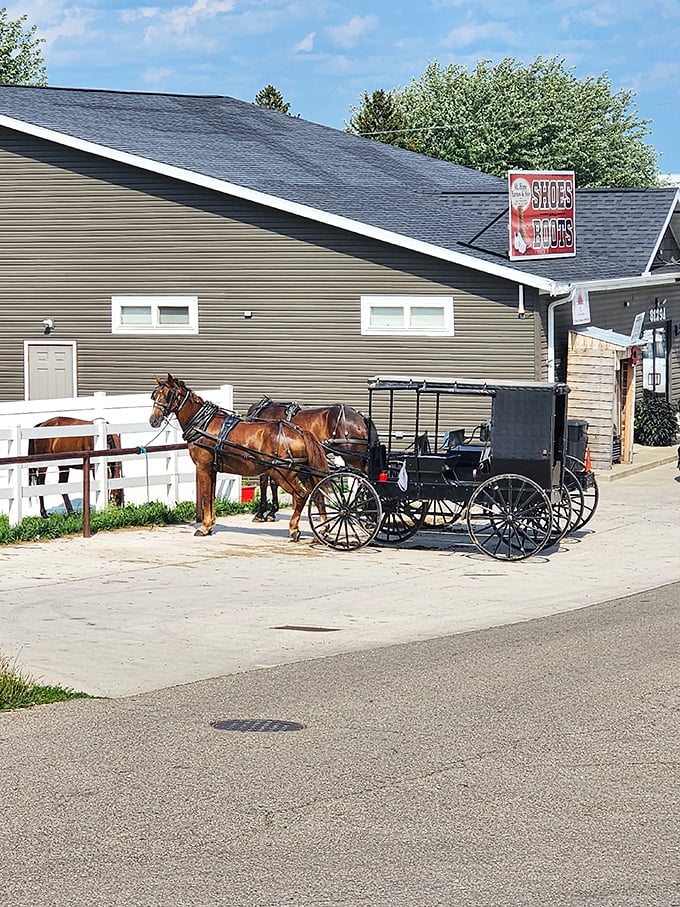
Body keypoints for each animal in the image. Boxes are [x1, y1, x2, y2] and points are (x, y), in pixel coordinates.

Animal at [149, 375, 329, 540]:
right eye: (155, 395)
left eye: (168, 394)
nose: (153, 420)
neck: (204, 425)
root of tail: (300, 432)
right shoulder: (212, 469)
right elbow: (212, 497)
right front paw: (210, 524)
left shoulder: (203, 467)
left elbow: (206, 497)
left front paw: (204, 527)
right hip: (303, 473)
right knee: (316, 493)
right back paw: (323, 528)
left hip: (282, 474)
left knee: (301, 496)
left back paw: (294, 529)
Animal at [246, 396, 377, 522]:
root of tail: (361, 418)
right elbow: (273, 483)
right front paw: (271, 512)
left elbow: (264, 483)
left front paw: (262, 513)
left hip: (353, 460)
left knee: (363, 483)